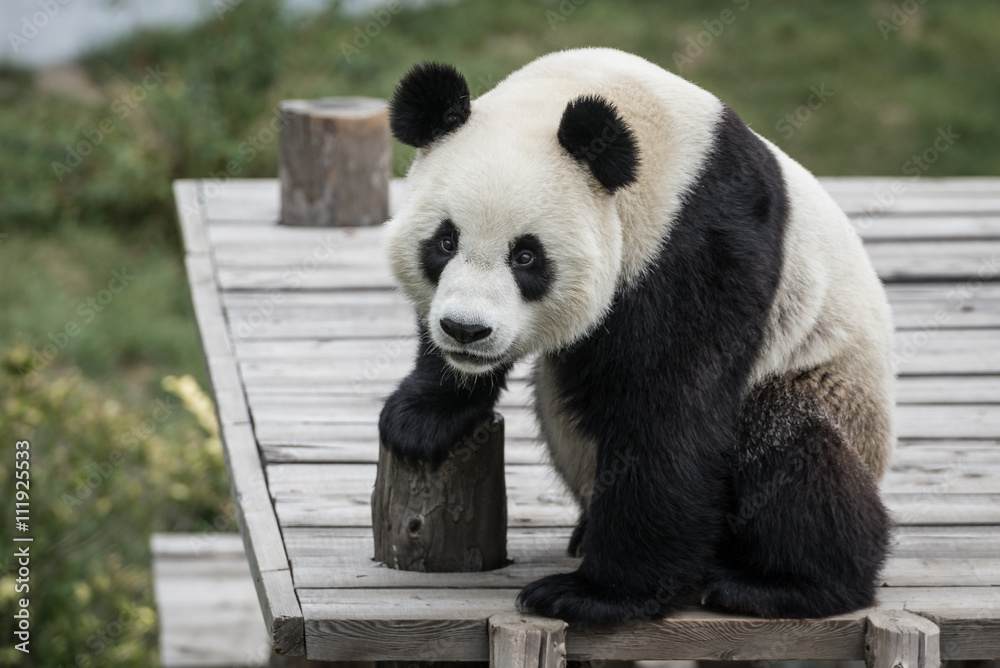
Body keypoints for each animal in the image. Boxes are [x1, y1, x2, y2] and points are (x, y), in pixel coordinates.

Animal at [378, 47, 894, 626]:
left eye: (526, 256)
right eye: (445, 241)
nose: (466, 330)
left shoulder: (699, 246)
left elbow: (669, 414)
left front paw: (597, 594)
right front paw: (422, 419)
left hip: (823, 377)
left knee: (791, 449)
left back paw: (785, 583)